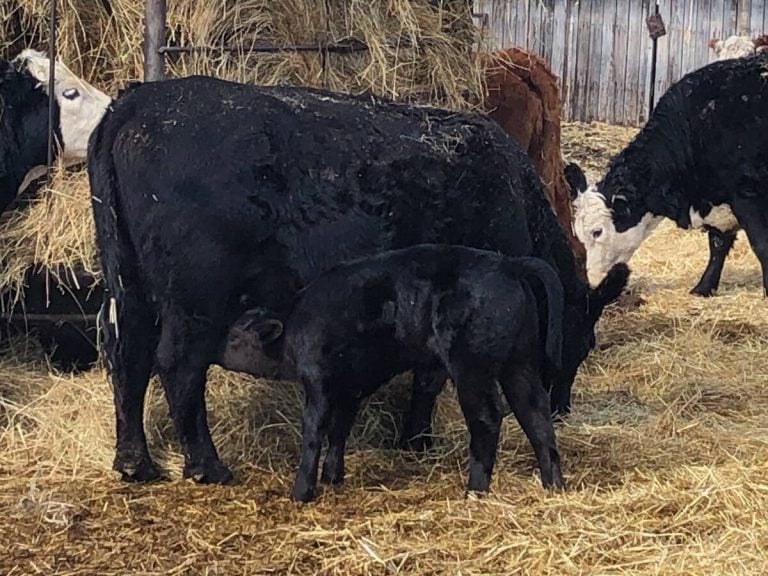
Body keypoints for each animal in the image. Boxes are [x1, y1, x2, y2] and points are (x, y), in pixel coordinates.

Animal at [219, 245, 575, 501]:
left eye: (235, 336)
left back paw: (474, 491)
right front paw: (332, 477)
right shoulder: (350, 387)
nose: (216, 350)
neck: (297, 321)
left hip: (473, 367)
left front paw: (302, 491)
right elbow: (339, 430)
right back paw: (553, 486)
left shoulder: (320, 382)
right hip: (520, 364)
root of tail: (509, 264)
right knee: (536, 415)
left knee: (487, 417)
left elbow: (314, 431)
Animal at [573, 52, 768, 295]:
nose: (589, 282)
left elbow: (761, 246)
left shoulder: (747, 196)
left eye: (597, 231)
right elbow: (718, 244)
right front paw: (703, 288)